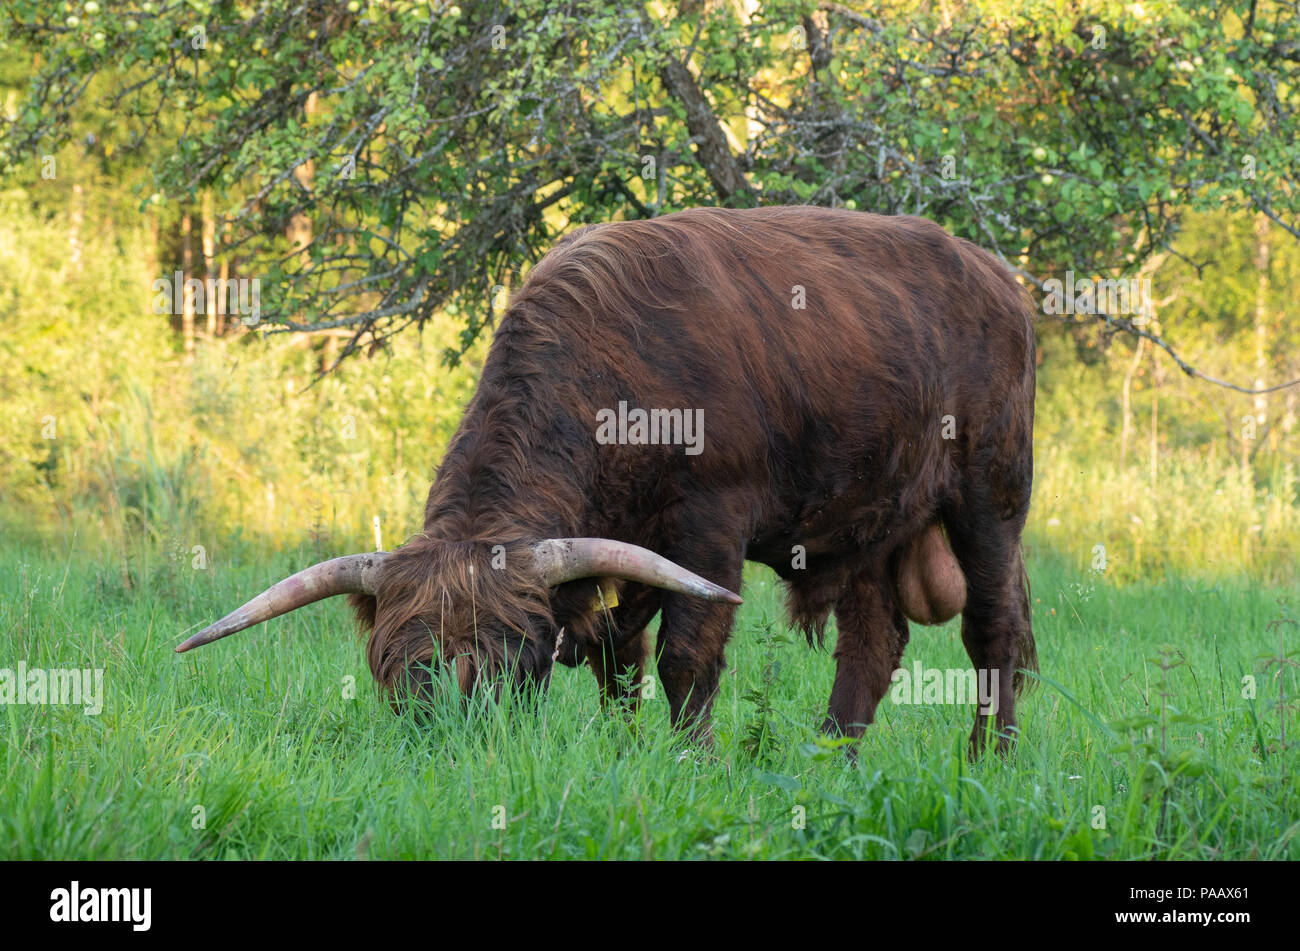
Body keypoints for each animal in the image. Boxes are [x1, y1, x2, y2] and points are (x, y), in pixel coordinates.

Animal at [178, 205, 1037, 754]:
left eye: (511, 657)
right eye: (396, 666)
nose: (449, 741)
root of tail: (998, 276)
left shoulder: (708, 526)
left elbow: (685, 656)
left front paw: (695, 762)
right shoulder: (616, 547)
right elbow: (617, 657)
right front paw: (623, 752)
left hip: (989, 496)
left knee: (993, 629)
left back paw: (985, 760)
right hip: (868, 522)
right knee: (872, 640)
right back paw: (830, 760)